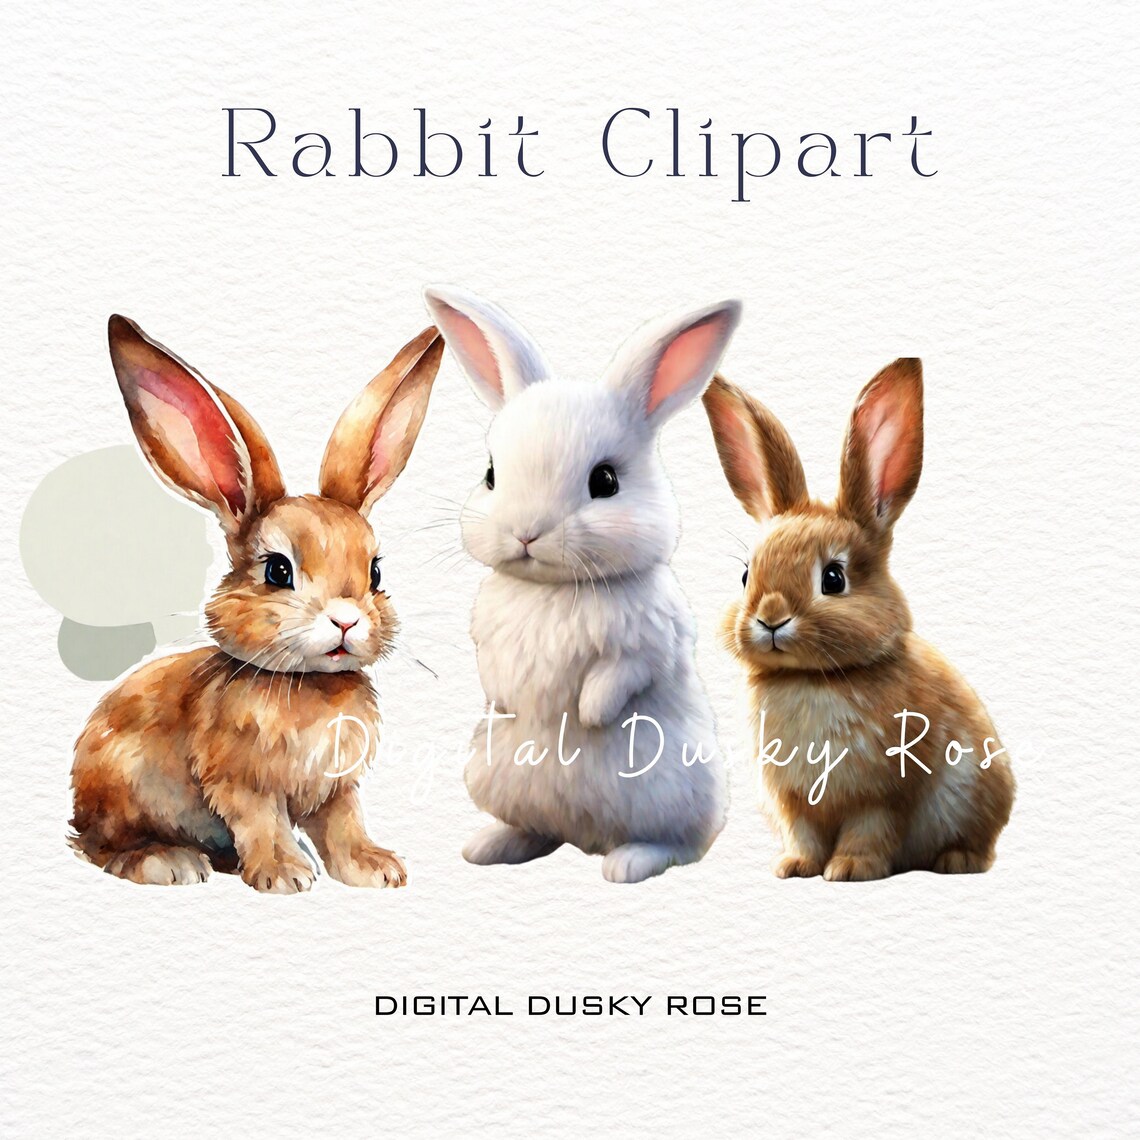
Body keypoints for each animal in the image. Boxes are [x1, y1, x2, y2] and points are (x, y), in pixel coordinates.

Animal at [69, 315, 443, 892]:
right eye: (277, 570)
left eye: (376, 572)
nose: (346, 619)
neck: (309, 685)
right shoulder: (241, 783)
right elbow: (262, 823)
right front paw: (285, 875)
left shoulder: (337, 787)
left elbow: (344, 824)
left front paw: (374, 869)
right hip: (123, 788)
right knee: (101, 845)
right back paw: (170, 862)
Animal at [423, 286, 742, 883]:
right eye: (491, 474)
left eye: (606, 481)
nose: (526, 533)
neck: (555, 588)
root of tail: (587, 838)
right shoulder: (488, 639)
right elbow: (492, 672)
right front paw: (508, 702)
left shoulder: (651, 641)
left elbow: (621, 674)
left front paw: (589, 715)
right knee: (539, 829)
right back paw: (491, 845)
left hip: (677, 792)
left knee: (682, 845)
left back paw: (627, 863)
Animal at [702, 359, 1015, 880]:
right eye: (746, 575)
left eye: (833, 578)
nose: (771, 619)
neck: (812, 679)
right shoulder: (794, 802)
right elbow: (803, 835)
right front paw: (794, 867)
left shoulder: (881, 797)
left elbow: (869, 831)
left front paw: (849, 870)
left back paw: (957, 860)